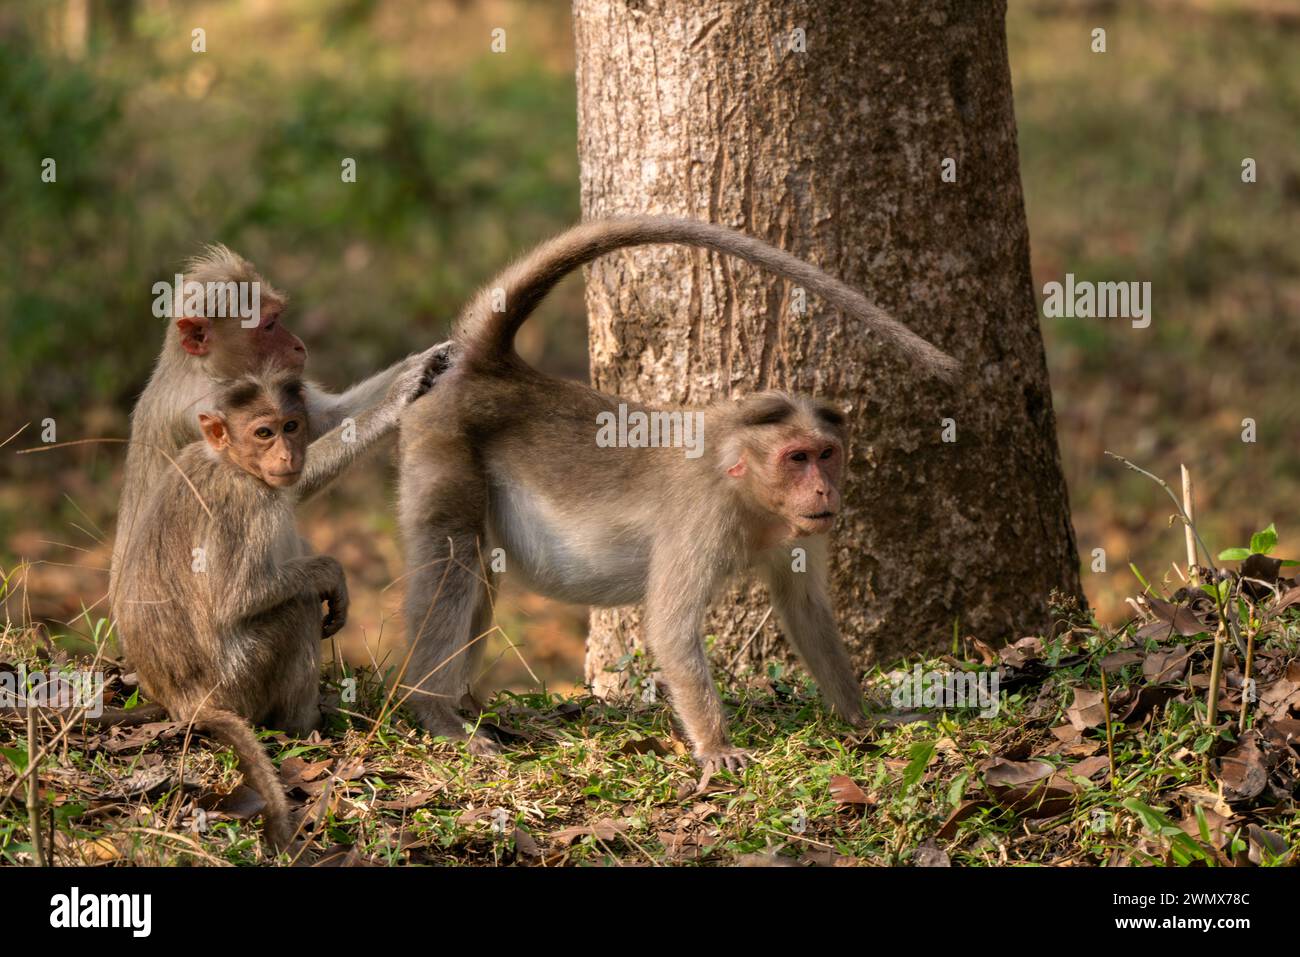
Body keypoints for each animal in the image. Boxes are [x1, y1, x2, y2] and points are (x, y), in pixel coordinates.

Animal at [109, 244, 451, 610]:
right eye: (270, 326)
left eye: (277, 318)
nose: (299, 345)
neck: (203, 369)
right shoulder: (208, 406)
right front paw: (395, 401)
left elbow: (329, 418)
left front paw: (429, 360)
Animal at [113, 366, 422, 849]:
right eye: (264, 432)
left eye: (291, 426)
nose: (286, 454)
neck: (228, 461)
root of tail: (186, 703)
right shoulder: (248, 500)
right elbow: (240, 595)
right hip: (242, 679)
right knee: (297, 608)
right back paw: (307, 727)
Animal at [396, 215, 956, 770]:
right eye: (796, 459)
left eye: (826, 454)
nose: (823, 490)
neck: (745, 492)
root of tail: (494, 368)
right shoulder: (702, 516)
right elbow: (670, 626)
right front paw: (717, 747)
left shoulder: (797, 528)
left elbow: (805, 606)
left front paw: (863, 717)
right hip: (441, 449)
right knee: (454, 561)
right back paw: (437, 712)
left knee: (478, 573)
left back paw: (463, 704)